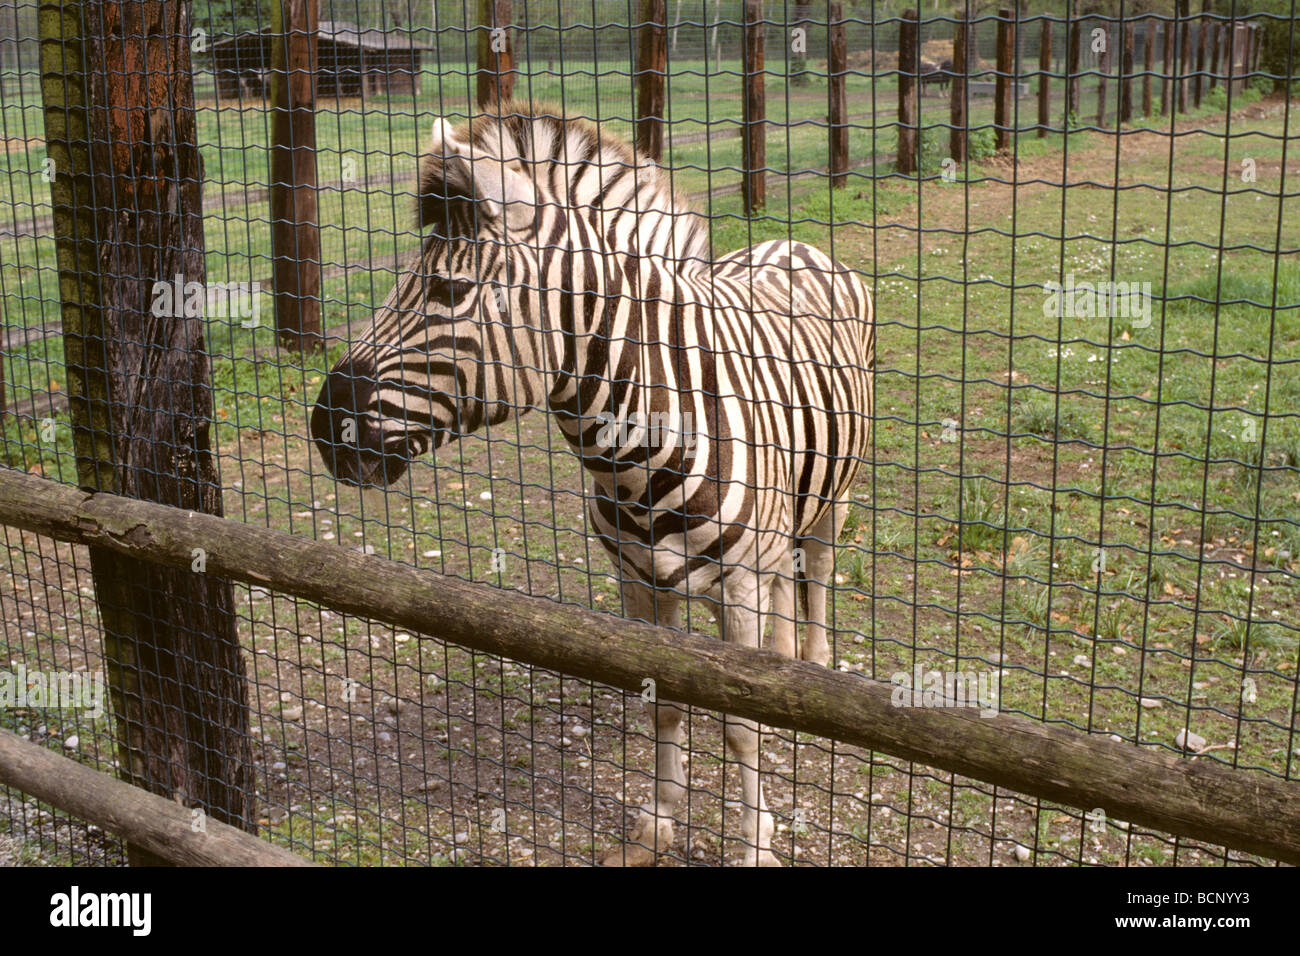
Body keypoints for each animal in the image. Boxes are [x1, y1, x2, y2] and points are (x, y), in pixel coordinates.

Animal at [310, 104, 875, 866]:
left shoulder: (737, 583)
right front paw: (657, 825)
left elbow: (740, 724)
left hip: (833, 496)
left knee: (816, 565)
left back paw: (811, 666)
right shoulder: (639, 581)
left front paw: (755, 844)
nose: (322, 425)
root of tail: (794, 242)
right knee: (787, 584)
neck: (639, 456)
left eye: (448, 292)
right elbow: (664, 703)